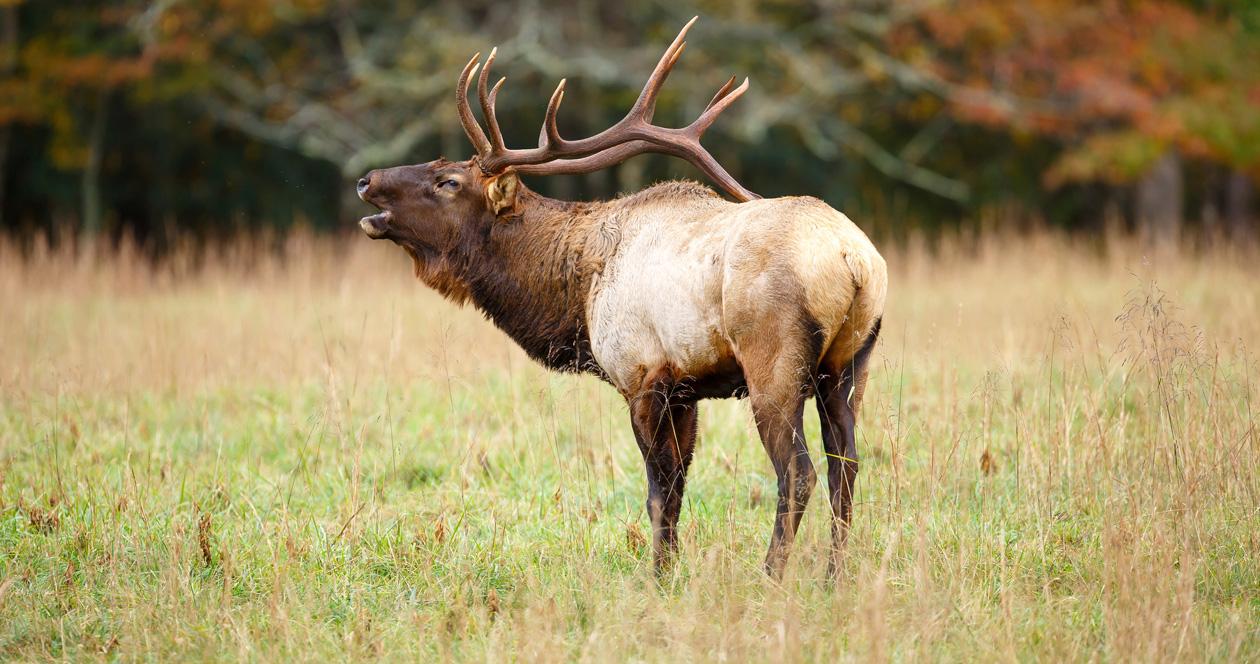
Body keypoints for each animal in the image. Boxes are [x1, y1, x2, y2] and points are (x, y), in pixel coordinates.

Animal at [355, 18, 887, 578]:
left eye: (448, 181)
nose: (367, 180)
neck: (578, 298)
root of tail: (854, 258)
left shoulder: (641, 376)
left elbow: (659, 492)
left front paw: (657, 577)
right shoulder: (685, 389)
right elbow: (678, 488)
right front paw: (669, 568)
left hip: (775, 364)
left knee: (798, 473)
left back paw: (771, 574)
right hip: (848, 364)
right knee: (846, 465)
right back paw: (833, 577)